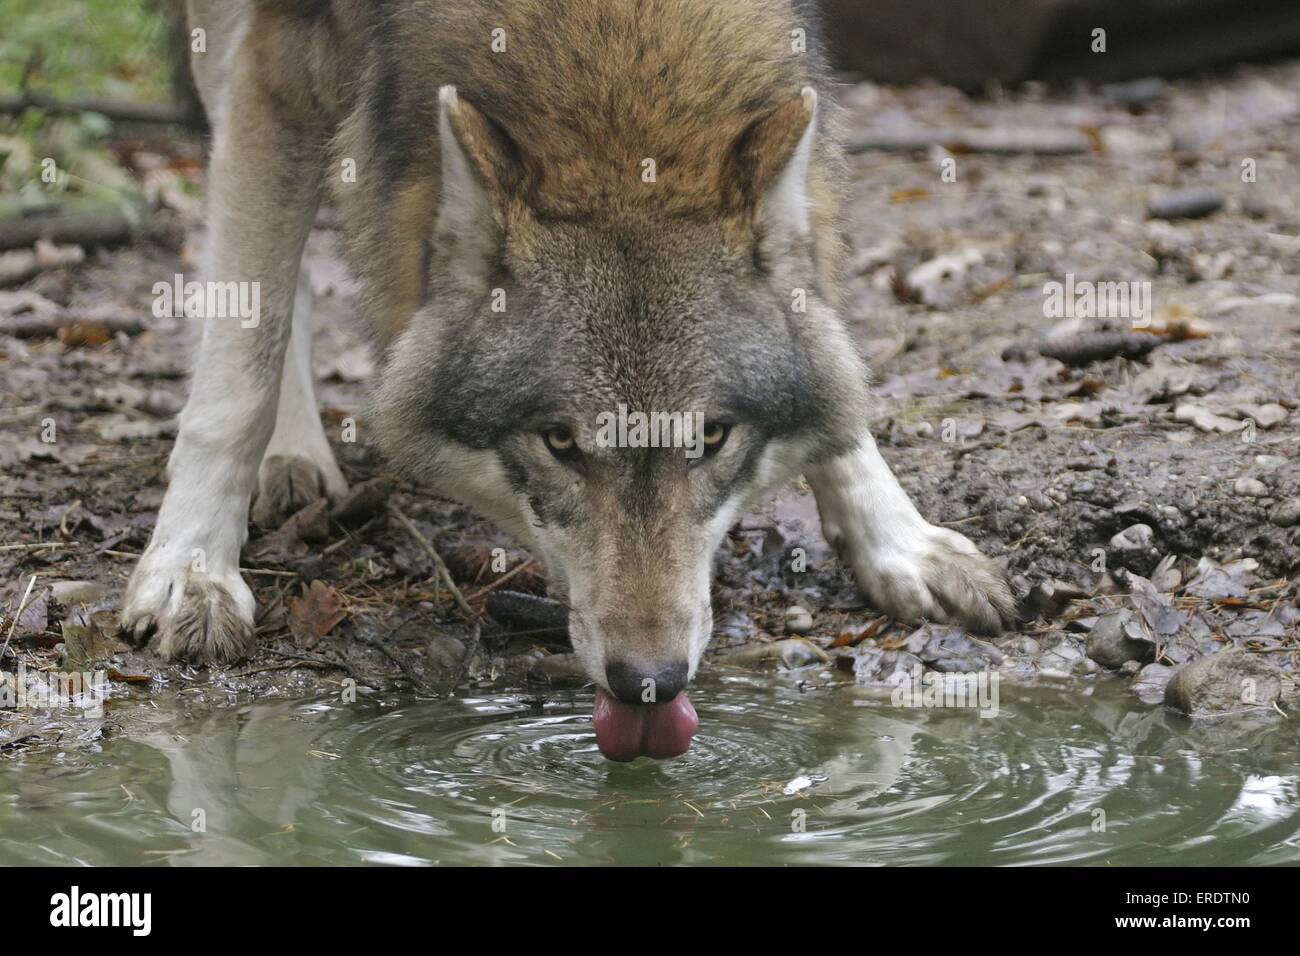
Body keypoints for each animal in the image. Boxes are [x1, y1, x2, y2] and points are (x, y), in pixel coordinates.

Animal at [123, 0, 1014, 760]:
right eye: (559, 441)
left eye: (712, 435)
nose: (650, 683)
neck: (619, 49)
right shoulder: (278, 58)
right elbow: (244, 353)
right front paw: (191, 571)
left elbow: (833, 363)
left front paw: (897, 538)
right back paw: (290, 457)